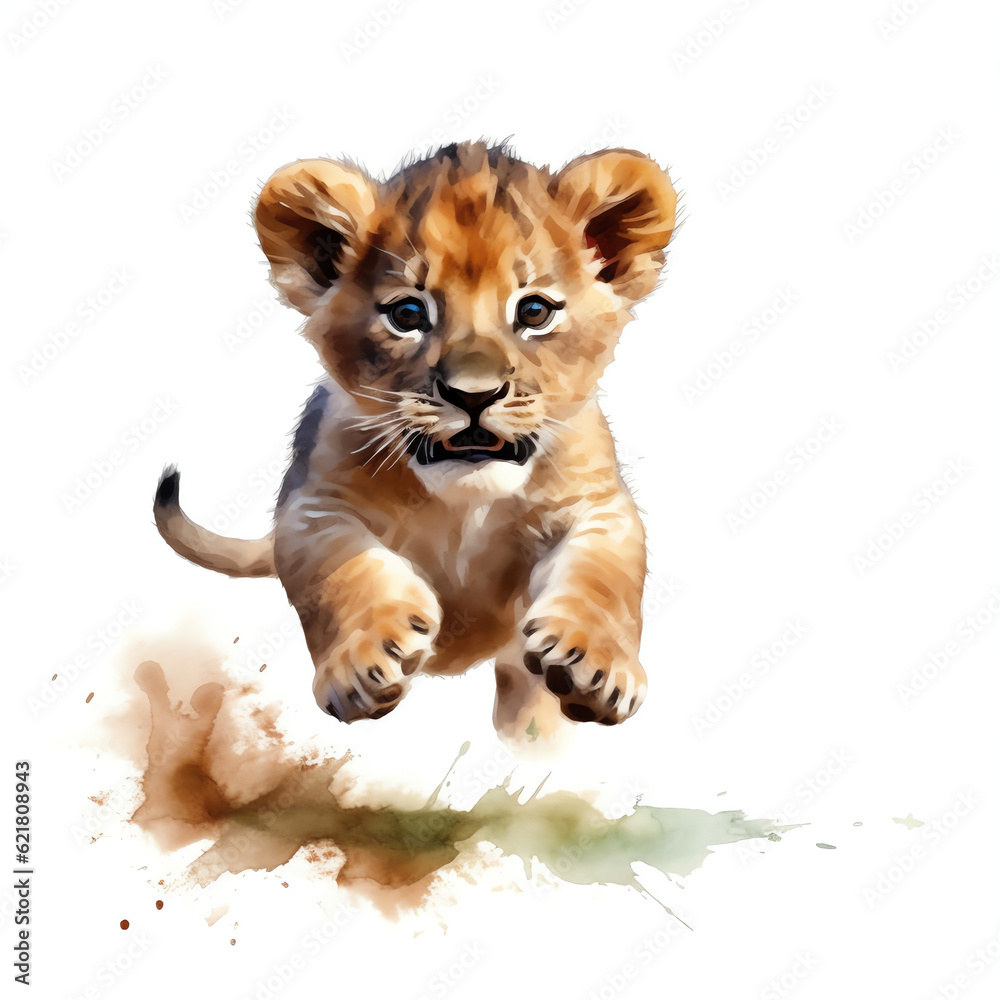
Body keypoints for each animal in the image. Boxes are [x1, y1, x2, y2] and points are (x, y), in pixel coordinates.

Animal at [153, 140, 677, 739]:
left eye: (534, 311)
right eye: (407, 314)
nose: (474, 395)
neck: (466, 501)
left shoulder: (598, 501)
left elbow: (605, 573)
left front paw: (594, 664)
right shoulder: (313, 503)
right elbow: (339, 569)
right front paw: (366, 660)